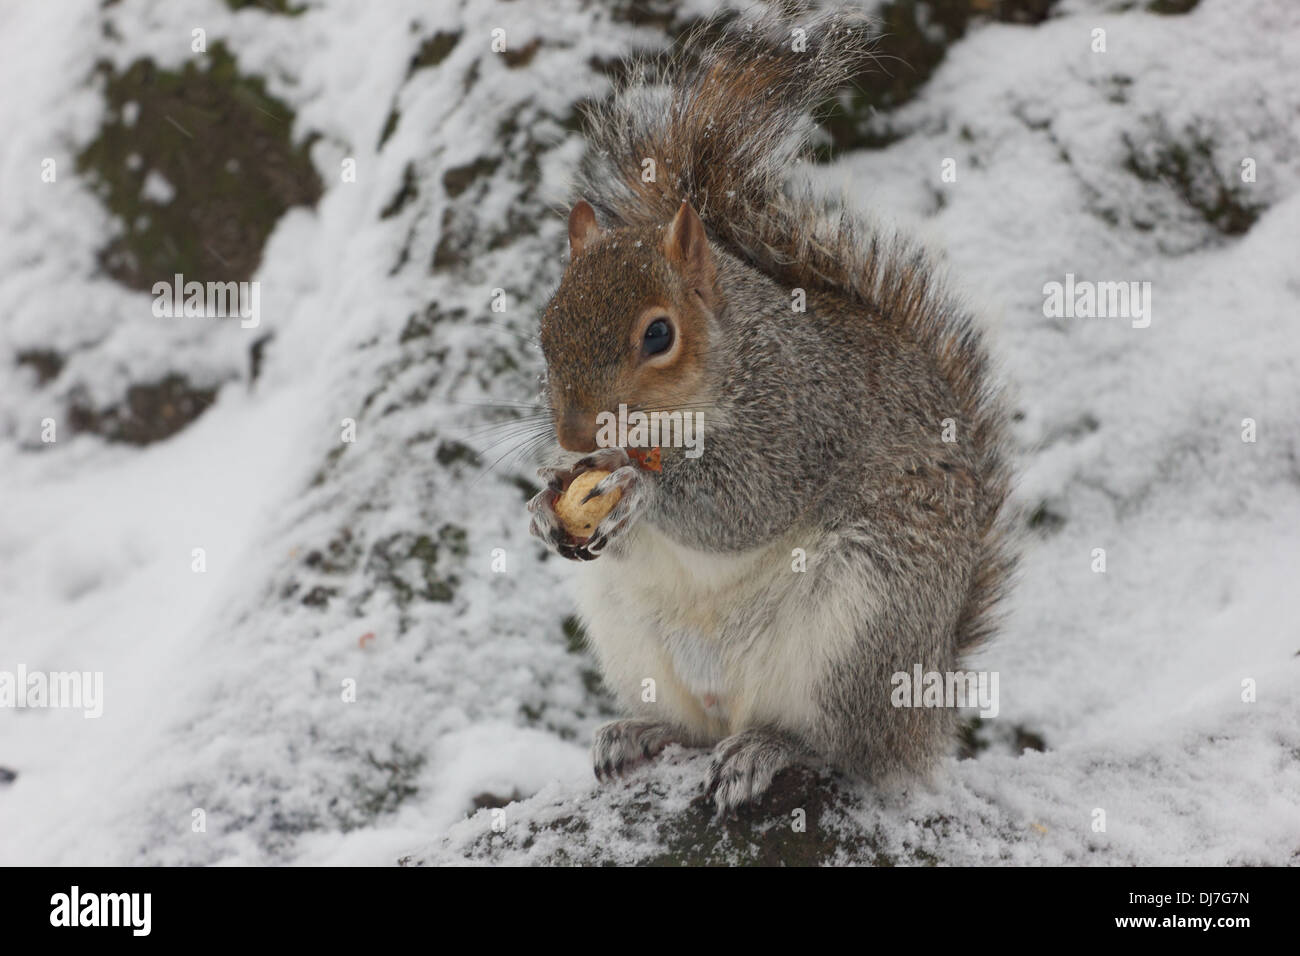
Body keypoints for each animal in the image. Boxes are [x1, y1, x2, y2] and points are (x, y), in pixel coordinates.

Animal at [526, 11, 1014, 814]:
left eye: (658, 335)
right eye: (545, 327)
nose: (573, 432)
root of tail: (927, 711)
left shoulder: (803, 412)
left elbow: (748, 503)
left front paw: (639, 486)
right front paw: (545, 501)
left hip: (862, 627)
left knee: (839, 748)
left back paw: (768, 748)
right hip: (631, 635)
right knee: (694, 729)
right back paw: (641, 733)